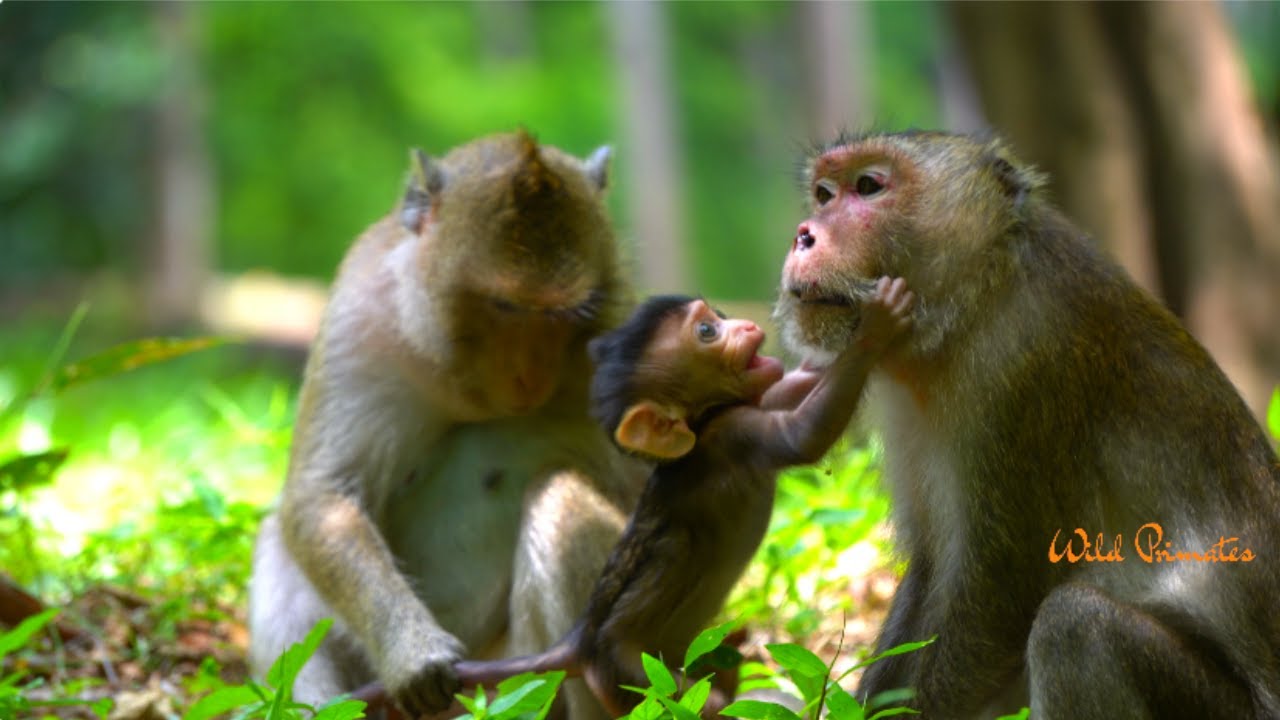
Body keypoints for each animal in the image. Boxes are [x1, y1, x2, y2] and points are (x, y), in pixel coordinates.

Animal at [247, 131, 648, 720]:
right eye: (506, 306)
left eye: (567, 314)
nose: (531, 377)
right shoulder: (359, 317)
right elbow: (322, 496)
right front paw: (413, 654)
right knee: (278, 537)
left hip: (511, 681)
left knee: (563, 500)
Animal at [350, 280, 914, 718]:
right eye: (707, 332)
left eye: (716, 316)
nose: (745, 327)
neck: (703, 421)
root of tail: (578, 641)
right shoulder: (734, 434)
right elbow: (804, 435)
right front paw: (876, 327)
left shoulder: (753, 400)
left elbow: (796, 385)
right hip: (626, 675)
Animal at [773, 130, 1280, 719]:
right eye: (824, 194)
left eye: (869, 186)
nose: (803, 235)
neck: (979, 298)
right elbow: (929, 573)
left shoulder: (1023, 368)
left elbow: (1004, 603)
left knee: (1076, 629)